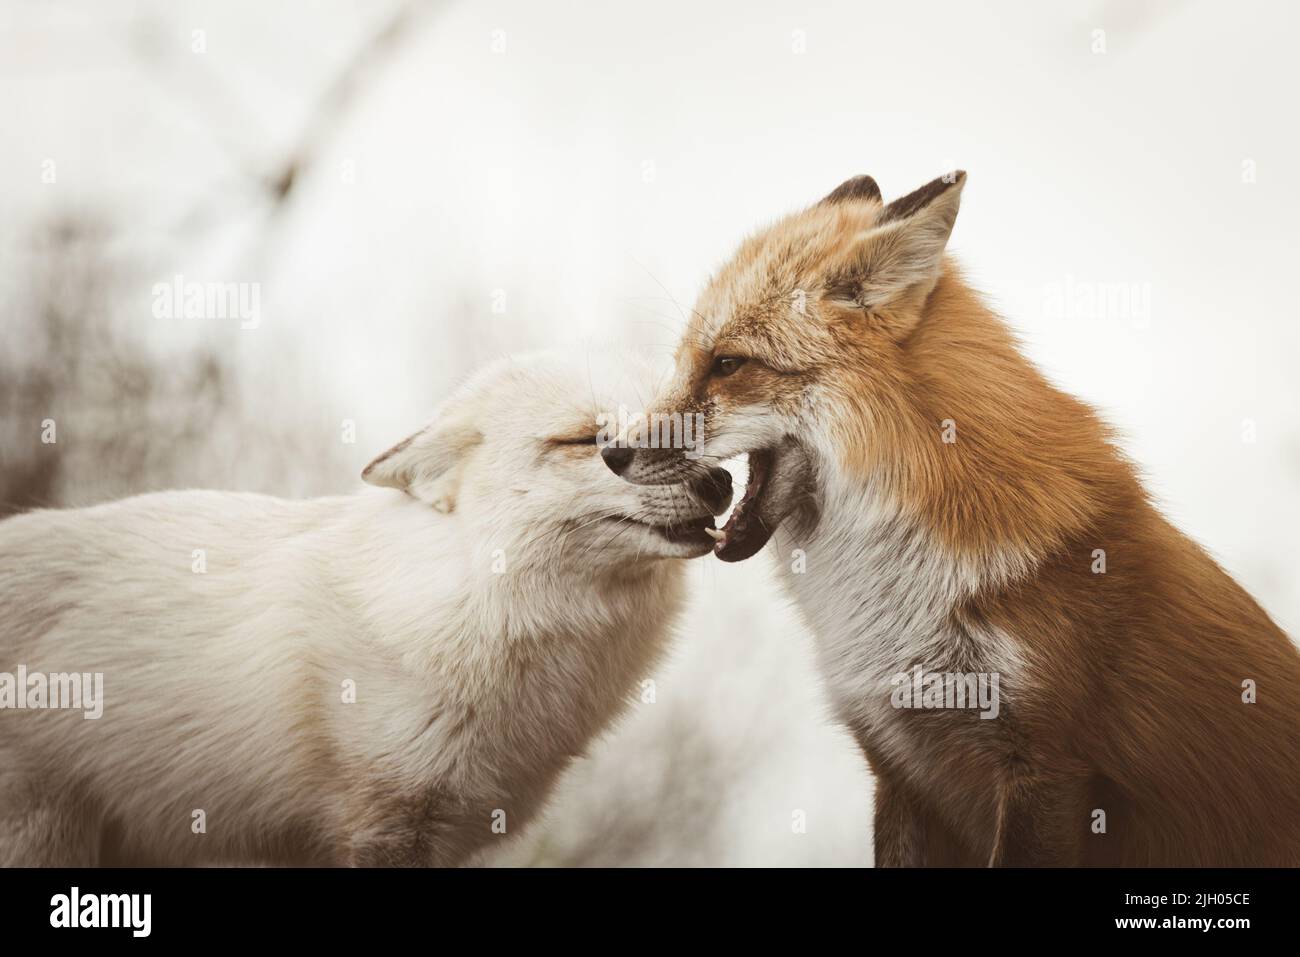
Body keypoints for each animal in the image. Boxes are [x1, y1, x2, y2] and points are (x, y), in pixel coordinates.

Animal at [602, 171, 1300, 866]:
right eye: (687, 361)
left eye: (728, 364)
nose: (612, 452)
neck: (891, 601)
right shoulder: (897, 766)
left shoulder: (1049, 770)